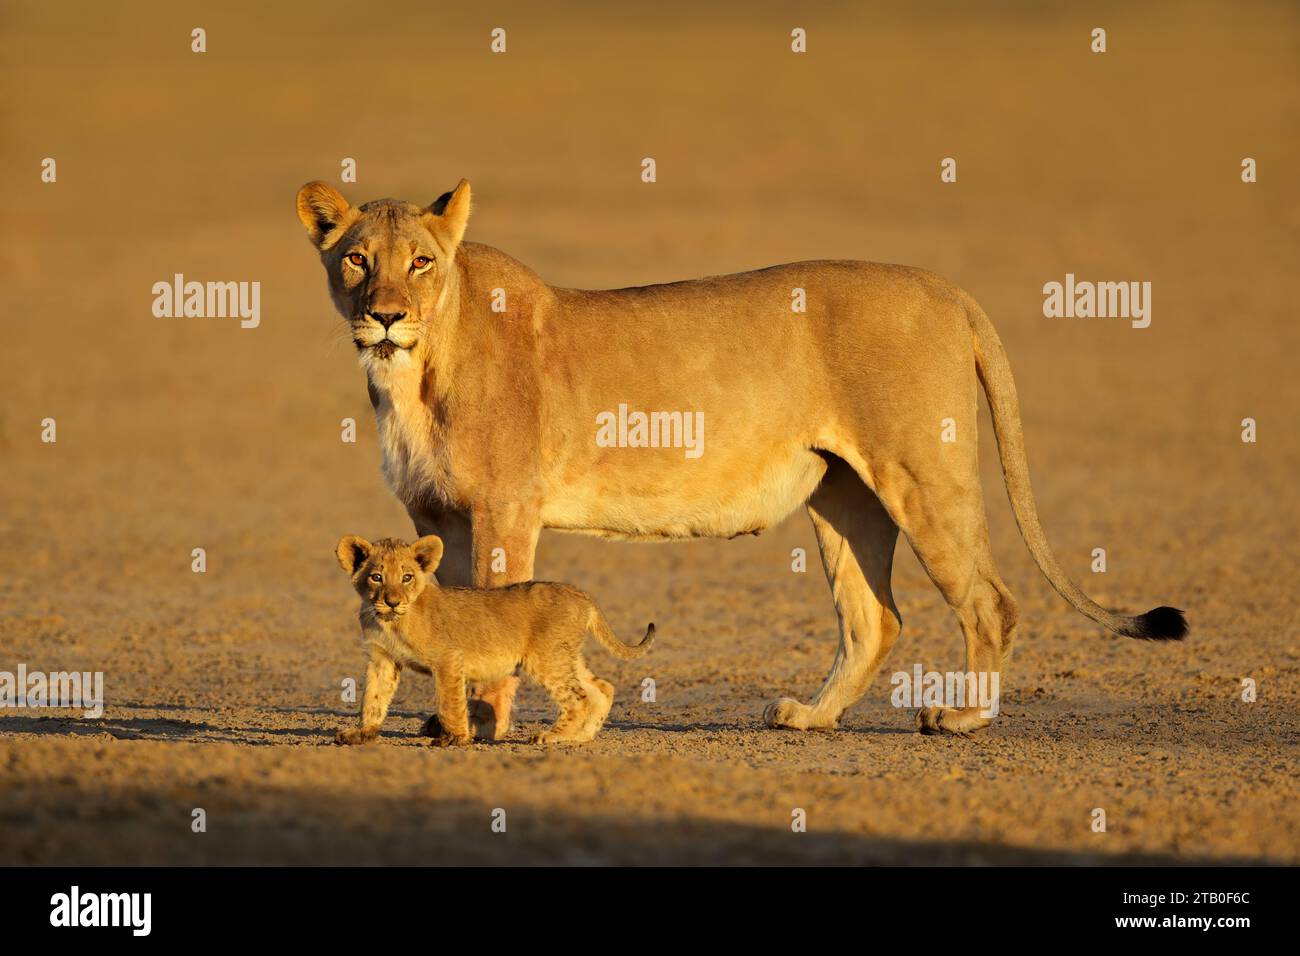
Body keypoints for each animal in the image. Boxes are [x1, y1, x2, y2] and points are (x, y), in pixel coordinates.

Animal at [334, 534, 654, 746]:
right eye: (376, 577)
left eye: (407, 577)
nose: (391, 601)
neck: (391, 622)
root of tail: (580, 593)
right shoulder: (382, 660)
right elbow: (373, 698)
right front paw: (361, 733)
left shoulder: (448, 658)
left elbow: (450, 702)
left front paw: (456, 738)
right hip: (565, 655)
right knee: (602, 687)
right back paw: (581, 738)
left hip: (545, 659)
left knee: (578, 697)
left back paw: (552, 737)